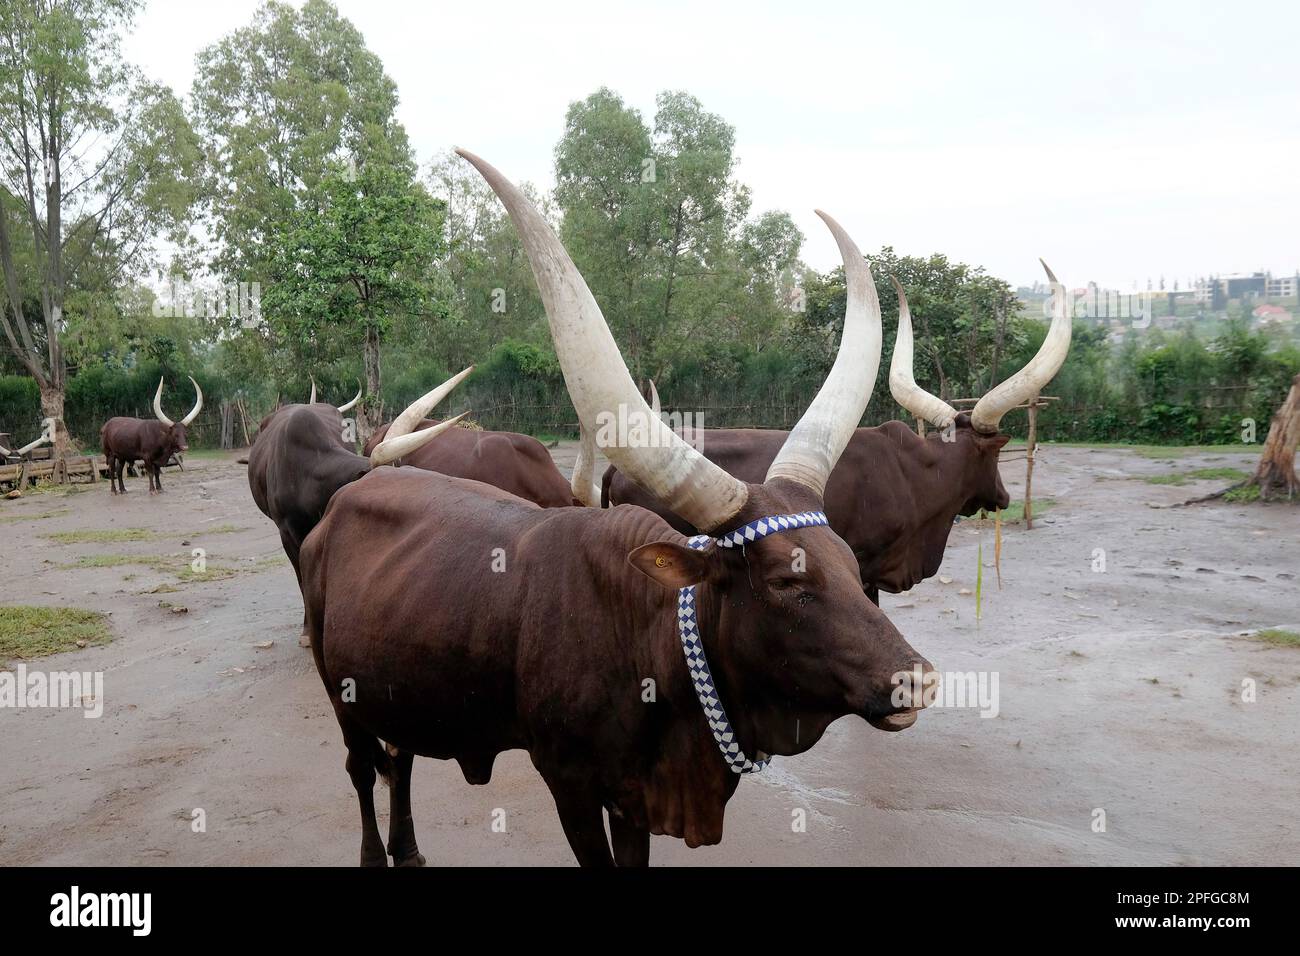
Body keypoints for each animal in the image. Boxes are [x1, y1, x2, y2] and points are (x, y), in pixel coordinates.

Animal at [298, 150, 933, 867]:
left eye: (850, 564)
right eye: (783, 580)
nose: (916, 679)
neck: (647, 636)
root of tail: (353, 491)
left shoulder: (636, 800)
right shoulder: (569, 786)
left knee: (399, 760)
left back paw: (408, 851)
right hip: (340, 693)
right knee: (361, 770)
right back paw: (375, 854)